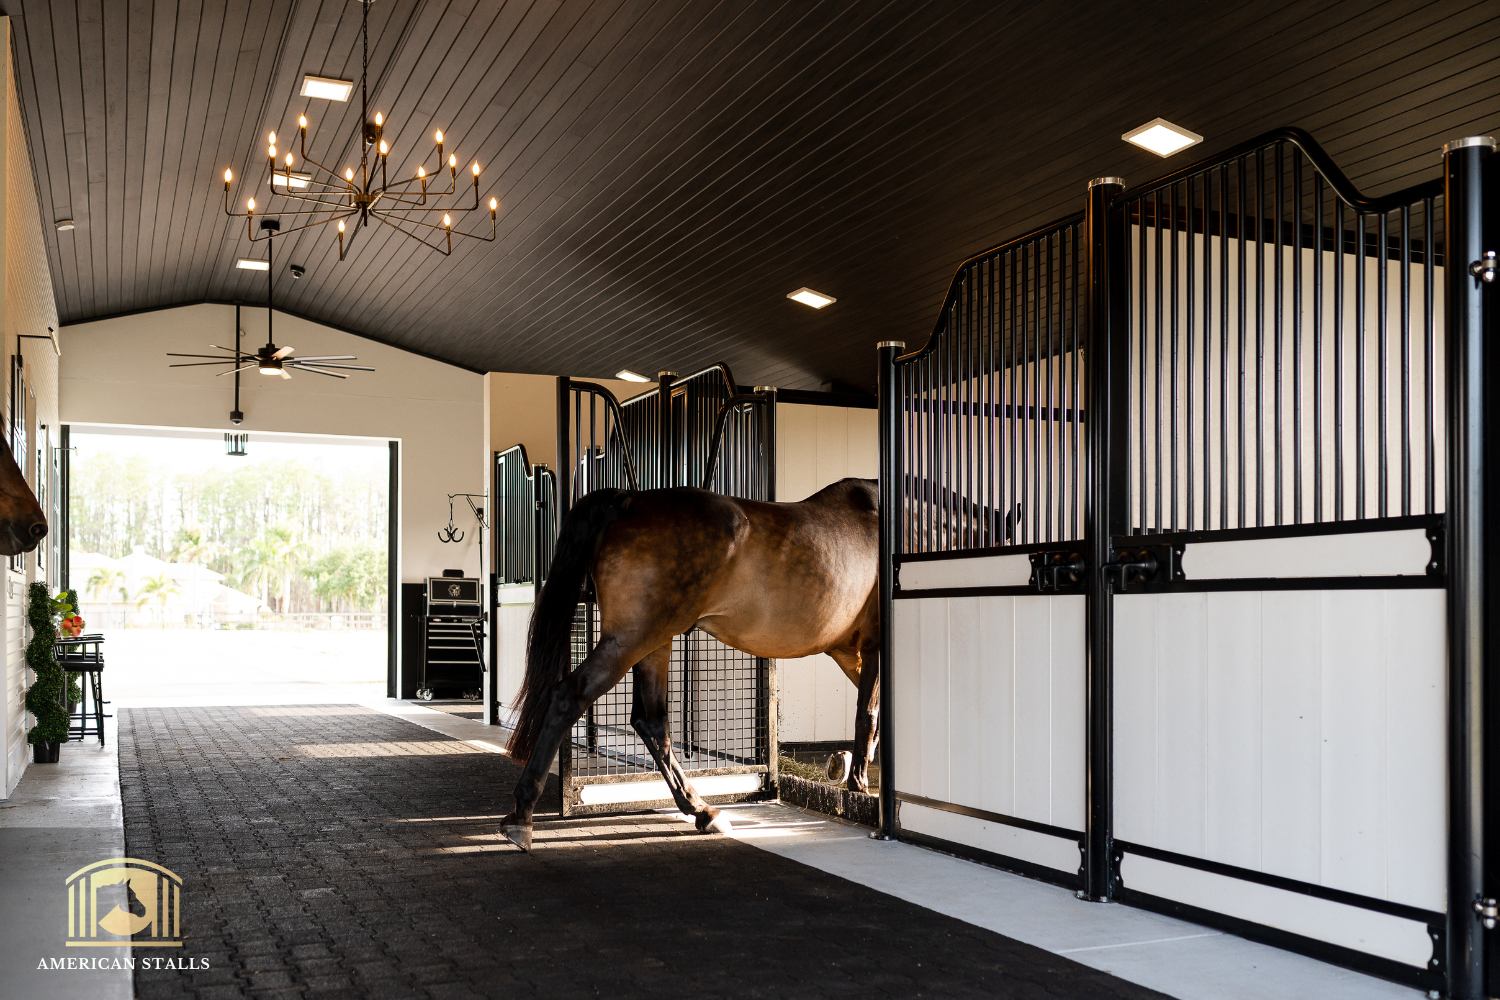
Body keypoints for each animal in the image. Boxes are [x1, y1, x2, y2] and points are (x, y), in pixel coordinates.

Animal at [499, 478, 880, 851]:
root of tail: (628, 501)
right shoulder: (874, 645)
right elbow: (869, 713)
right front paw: (858, 782)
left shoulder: (848, 652)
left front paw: (848, 766)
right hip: (630, 639)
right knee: (570, 696)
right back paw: (521, 816)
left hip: (654, 643)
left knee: (651, 722)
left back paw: (701, 810)